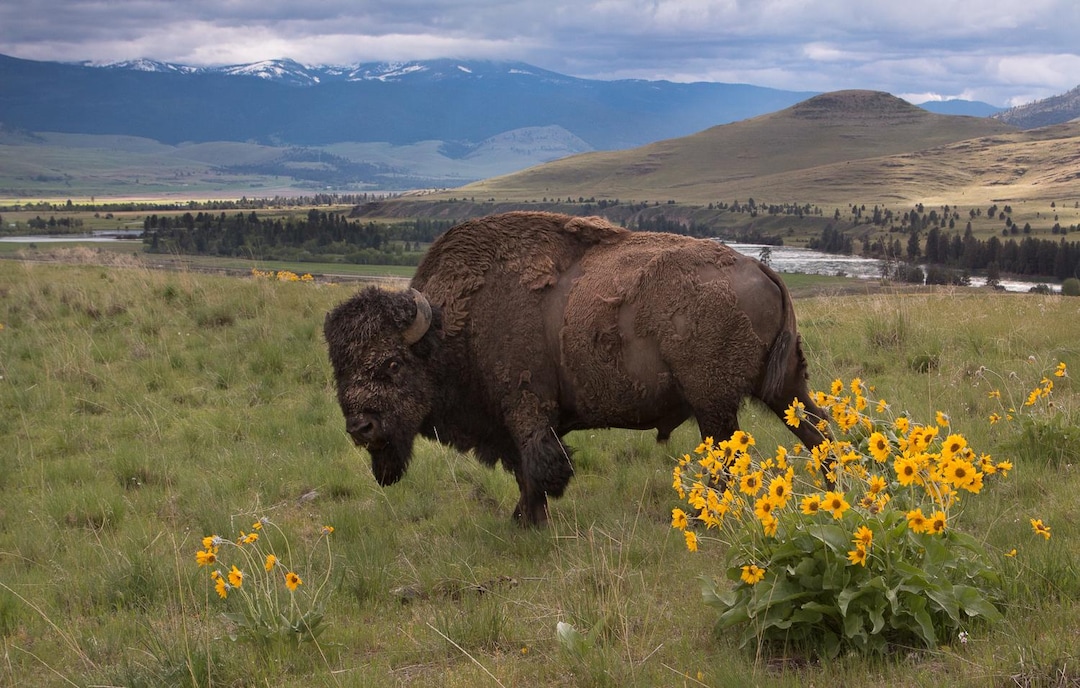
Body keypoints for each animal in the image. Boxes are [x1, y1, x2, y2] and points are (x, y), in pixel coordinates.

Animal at [324, 211, 828, 525]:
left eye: (392, 363)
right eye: (338, 368)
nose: (360, 427)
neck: (451, 326)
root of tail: (761, 270)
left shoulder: (526, 410)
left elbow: (537, 467)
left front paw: (530, 523)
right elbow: (524, 471)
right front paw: (522, 519)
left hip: (714, 402)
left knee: (725, 455)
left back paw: (707, 516)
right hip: (782, 387)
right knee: (816, 429)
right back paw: (827, 489)